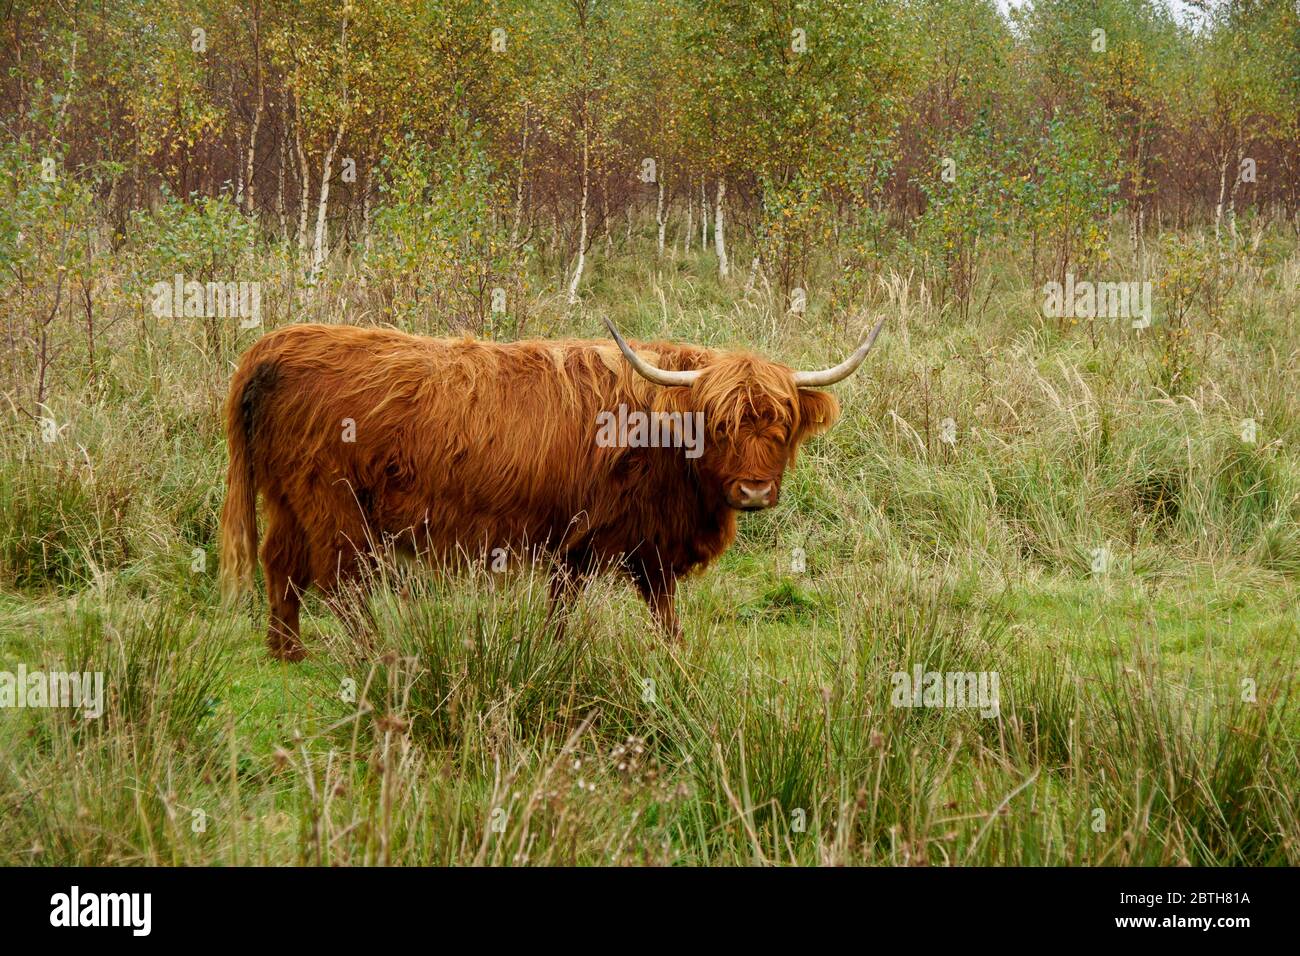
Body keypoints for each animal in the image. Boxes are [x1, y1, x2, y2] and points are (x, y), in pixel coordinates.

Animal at [219, 317, 884, 660]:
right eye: (719, 425)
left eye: (780, 426)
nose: (753, 492)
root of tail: (272, 347)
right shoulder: (606, 536)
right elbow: (606, 603)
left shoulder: (607, 540)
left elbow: (619, 604)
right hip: (333, 504)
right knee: (341, 581)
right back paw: (378, 653)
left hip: (289, 500)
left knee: (281, 565)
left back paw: (286, 651)